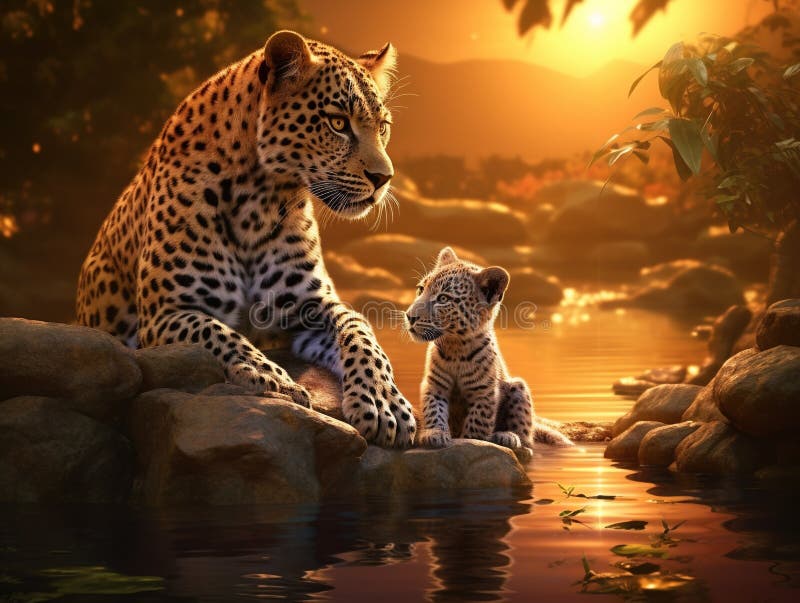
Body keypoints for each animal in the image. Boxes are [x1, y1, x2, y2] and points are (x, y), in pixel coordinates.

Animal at [76, 30, 416, 447]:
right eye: (337, 122)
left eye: (382, 126)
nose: (384, 178)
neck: (263, 197)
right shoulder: (168, 312)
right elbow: (216, 333)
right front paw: (272, 379)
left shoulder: (309, 305)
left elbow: (361, 329)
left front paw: (385, 403)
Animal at [404, 247, 574, 454]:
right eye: (421, 289)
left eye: (443, 299)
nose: (410, 316)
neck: (455, 347)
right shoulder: (435, 385)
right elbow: (434, 409)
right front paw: (434, 434)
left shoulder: (484, 392)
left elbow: (478, 422)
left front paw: (472, 440)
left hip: (518, 388)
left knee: (526, 438)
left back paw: (507, 437)